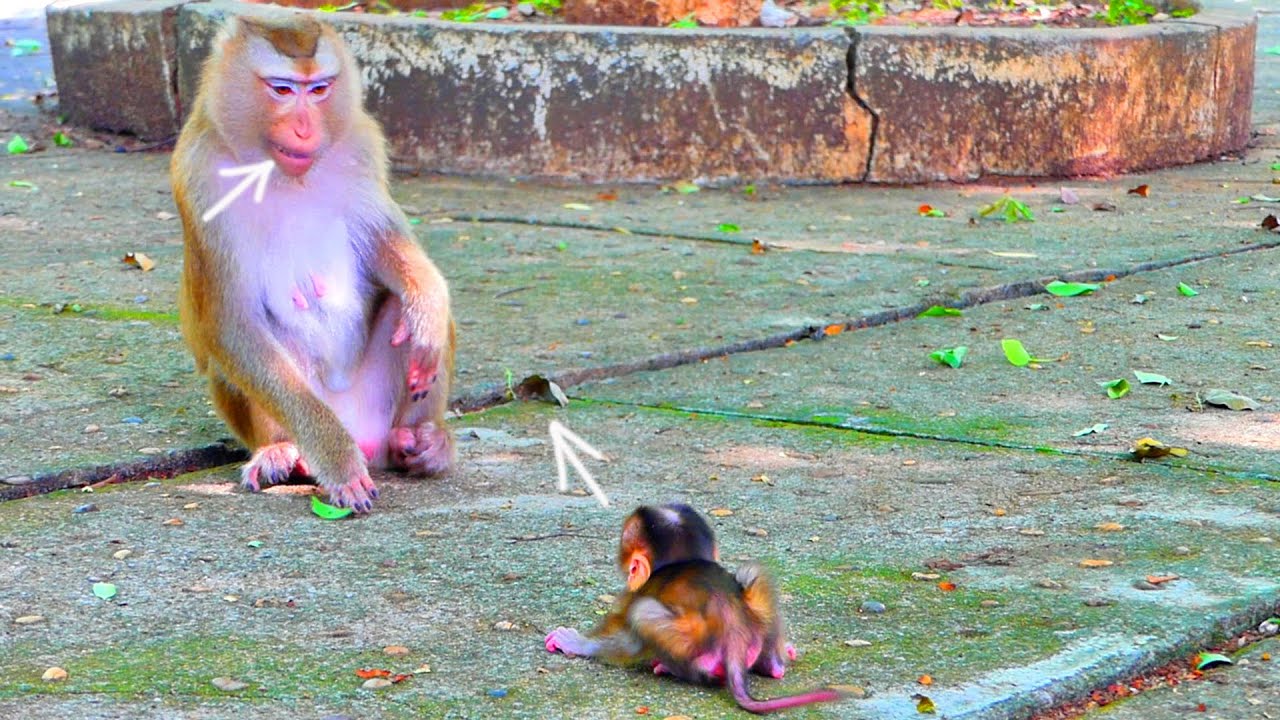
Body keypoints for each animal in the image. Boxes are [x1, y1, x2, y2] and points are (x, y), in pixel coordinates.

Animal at [170, 13, 455, 512]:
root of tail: (366, 437)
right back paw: (284, 454)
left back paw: (424, 443)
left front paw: (427, 307)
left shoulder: (361, 148)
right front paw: (336, 462)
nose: (306, 130)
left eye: (319, 89)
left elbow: (386, 247)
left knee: (404, 314)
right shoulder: (199, 176)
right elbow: (231, 325)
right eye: (283, 90)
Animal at [545, 504, 843, 714]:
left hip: (693, 647)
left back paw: (669, 667)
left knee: (643, 612)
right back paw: (775, 663)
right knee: (751, 572)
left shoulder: (633, 594)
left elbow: (625, 638)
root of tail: (734, 630)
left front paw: (574, 642)